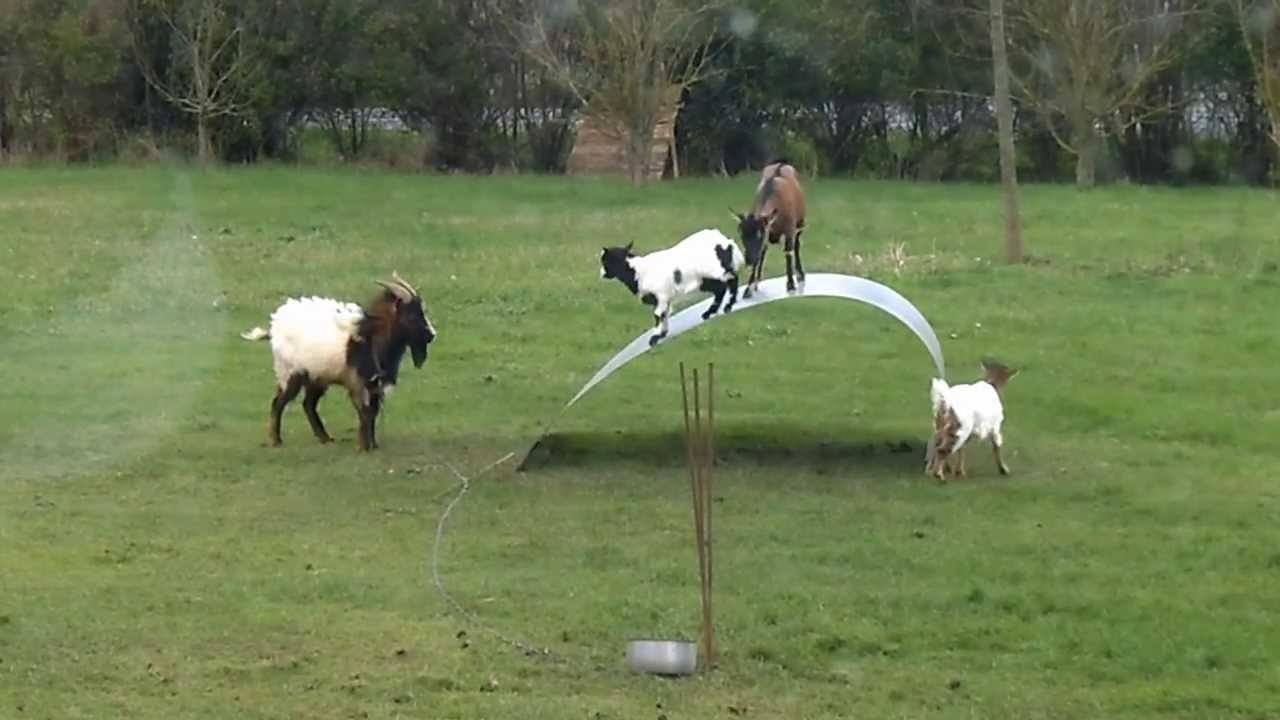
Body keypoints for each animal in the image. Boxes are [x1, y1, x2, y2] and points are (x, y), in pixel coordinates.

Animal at [240, 272, 437, 451]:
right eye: (412, 315)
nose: (432, 335)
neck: (370, 336)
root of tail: (274, 327)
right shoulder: (357, 381)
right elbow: (364, 411)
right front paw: (363, 447)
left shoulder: (374, 383)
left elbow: (373, 411)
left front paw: (373, 444)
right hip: (290, 372)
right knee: (279, 402)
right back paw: (276, 441)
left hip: (316, 376)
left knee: (308, 404)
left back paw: (325, 438)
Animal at [600, 228, 745, 347]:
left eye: (605, 261)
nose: (601, 273)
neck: (638, 271)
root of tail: (726, 243)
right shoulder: (665, 299)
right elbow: (665, 314)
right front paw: (662, 334)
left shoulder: (661, 296)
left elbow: (658, 315)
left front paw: (655, 338)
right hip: (709, 278)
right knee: (727, 284)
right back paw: (719, 309)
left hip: (712, 275)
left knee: (726, 285)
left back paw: (719, 309)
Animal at [730, 159, 807, 296]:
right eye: (741, 235)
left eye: (759, 235)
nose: (748, 260)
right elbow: (760, 253)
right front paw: (749, 287)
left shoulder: (789, 230)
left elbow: (788, 253)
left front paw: (790, 285)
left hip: (800, 223)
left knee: (797, 246)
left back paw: (800, 275)